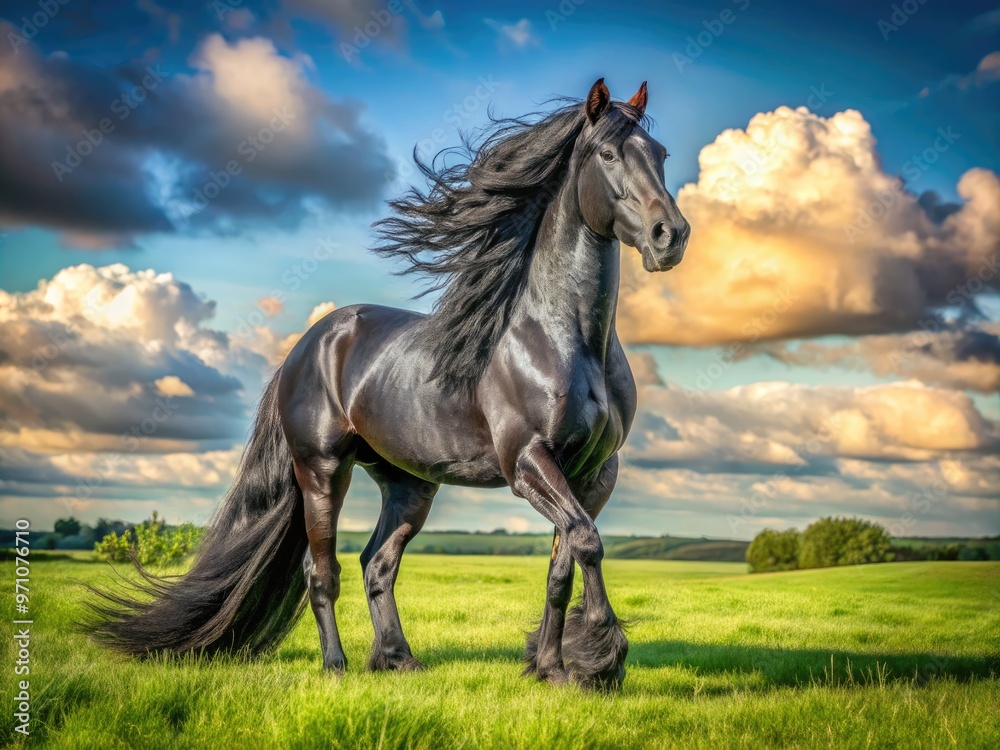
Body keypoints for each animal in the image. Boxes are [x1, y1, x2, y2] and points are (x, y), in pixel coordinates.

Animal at [86, 78, 690, 690]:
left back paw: (398, 659)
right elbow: (587, 542)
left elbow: (562, 566)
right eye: (608, 154)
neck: (565, 339)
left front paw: (553, 669)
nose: (671, 236)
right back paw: (337, 665)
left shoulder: (593, 472)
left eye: (661, 154)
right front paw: (603, 654)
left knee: (376, 564)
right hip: (322, 469)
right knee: (321, 570)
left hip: (408, 484)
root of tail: (307, 347)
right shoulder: (529, 462)